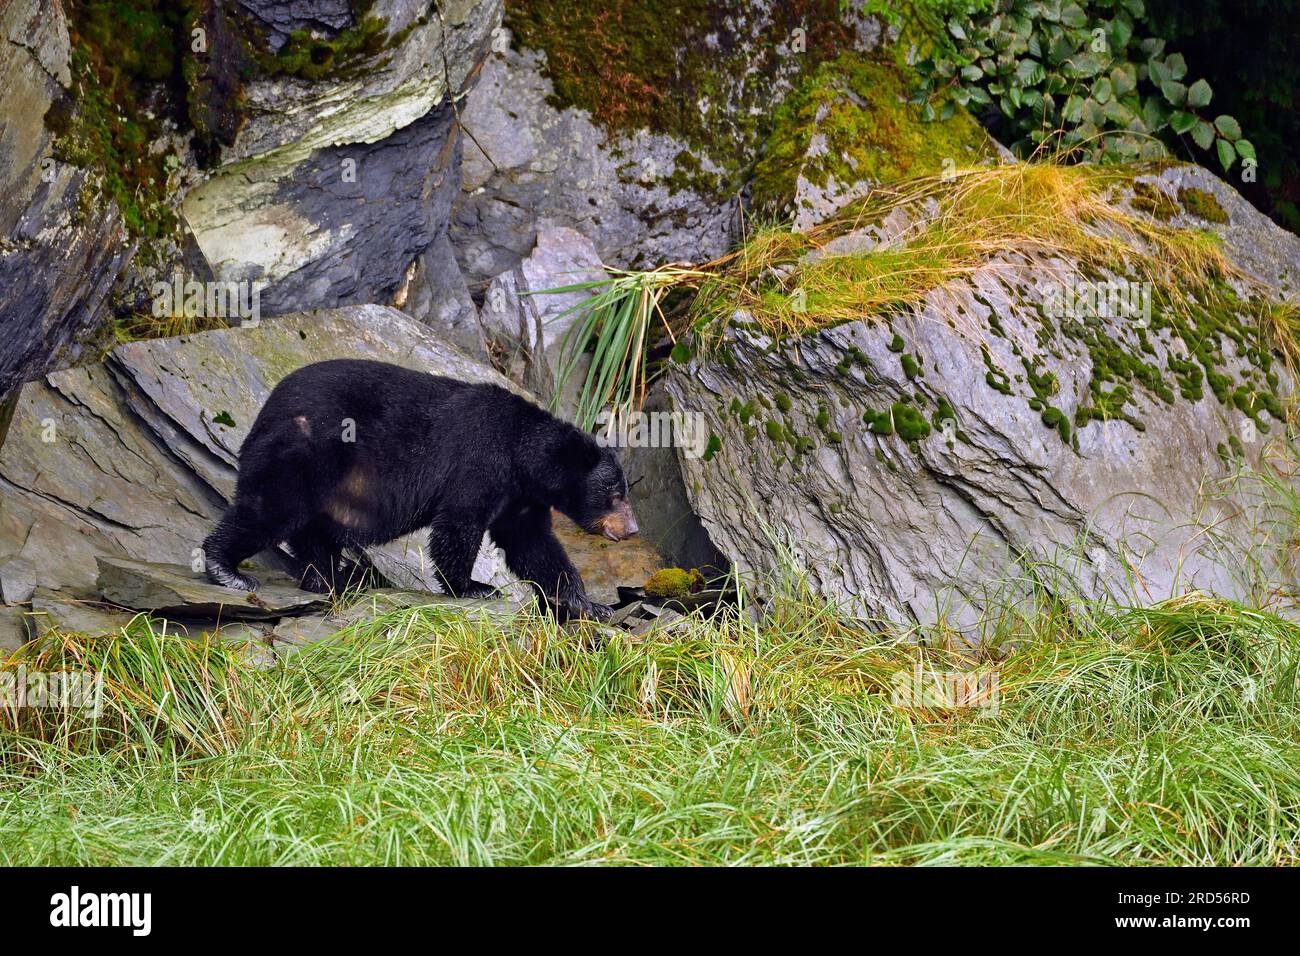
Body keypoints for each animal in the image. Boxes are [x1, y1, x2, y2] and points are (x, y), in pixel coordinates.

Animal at [201, 358, 638, 620]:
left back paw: (329, 580)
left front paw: (588, 603)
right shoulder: (480, 461)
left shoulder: (520, 496)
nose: (632, 529)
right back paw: (227, 568)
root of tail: (265, 410)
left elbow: (532, 544)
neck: (522, 452)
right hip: (308, 447)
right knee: (274, 507)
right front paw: (475, 587)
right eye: (616, 493)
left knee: (313, 531)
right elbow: (459, 524)